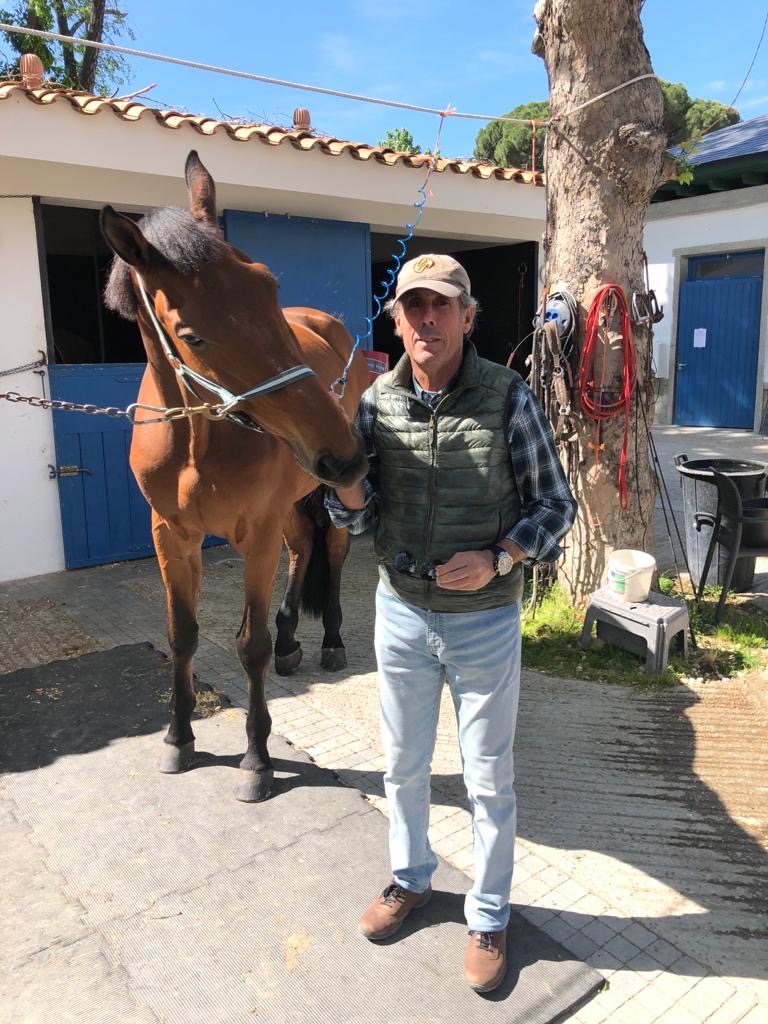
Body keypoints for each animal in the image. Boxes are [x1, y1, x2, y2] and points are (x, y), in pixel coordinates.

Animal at [100, 151, 369, 803]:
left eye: (268, 286)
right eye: (191, 336)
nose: (343, 451)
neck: (198, 441)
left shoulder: (257, 536)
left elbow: (250, 646)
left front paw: (256, 759)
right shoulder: (172, 537)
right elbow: (183, 634)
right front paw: (178, 739)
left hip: (322, 497)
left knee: (333, 552)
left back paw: (329, 642)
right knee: (304, 552)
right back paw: (294, 640)